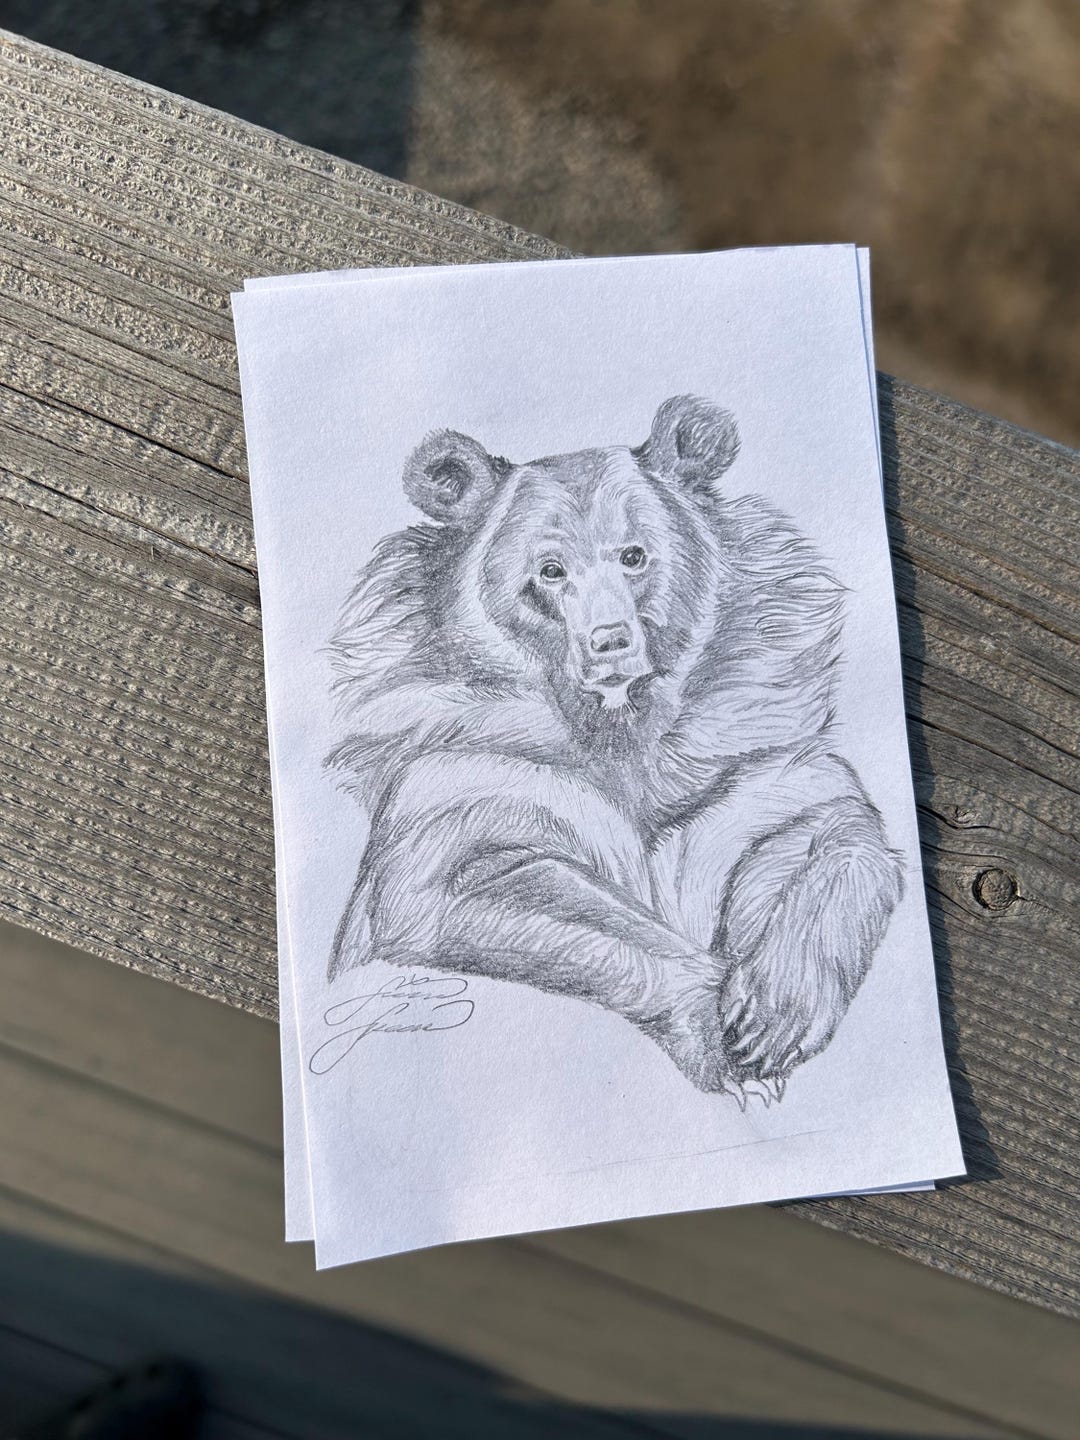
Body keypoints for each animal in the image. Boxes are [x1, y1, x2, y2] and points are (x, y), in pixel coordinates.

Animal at [324, 395, 903, 1103]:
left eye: (634, 555)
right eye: (549, 571)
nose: (610, 643)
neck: (624, 731)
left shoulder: (746, 759)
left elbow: (838, 834)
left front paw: (772, 1017)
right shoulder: (471, 770)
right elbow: (492, 889)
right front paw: (725, 1045)